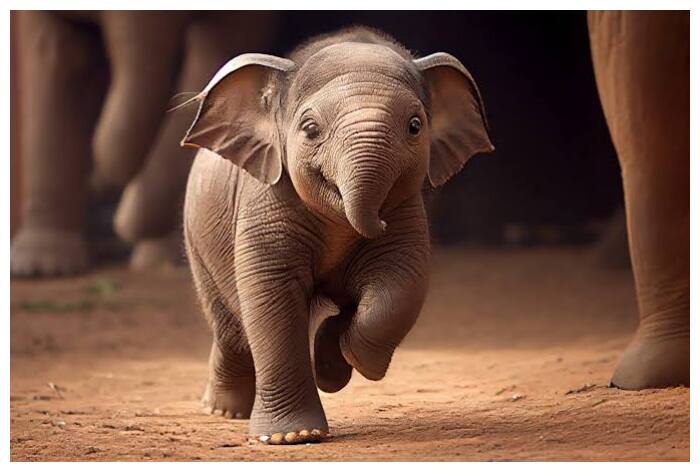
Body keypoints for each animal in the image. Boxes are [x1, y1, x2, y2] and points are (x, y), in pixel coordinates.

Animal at [181, 26, 493, 444]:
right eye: (310, 129)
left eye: (415, 126)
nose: (378, 224)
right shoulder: (265, 203)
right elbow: (272, 298)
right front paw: (293, 437)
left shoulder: (406, 210)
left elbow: (402, 282)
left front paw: (345, 360)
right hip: (197, 241)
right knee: (232, 326)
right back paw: (224, 411)